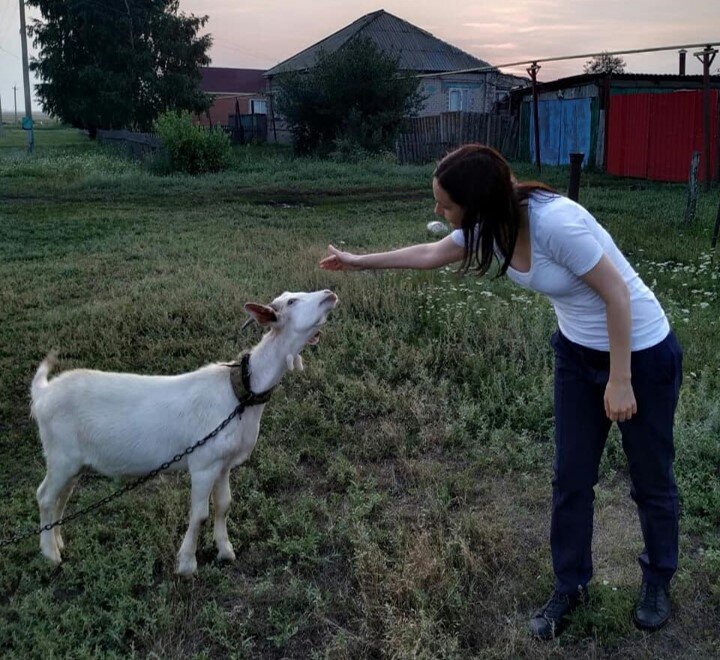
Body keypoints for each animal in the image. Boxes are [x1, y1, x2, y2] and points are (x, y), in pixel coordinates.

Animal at [31, 288, 340, 572]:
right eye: (292, 301)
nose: (330, 294)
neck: (238, 392)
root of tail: (43, 393)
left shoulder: (223, 463)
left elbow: (224, 504)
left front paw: (225, 551)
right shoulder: (203, 463)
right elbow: (199, 514)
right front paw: (187, 563)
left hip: (74, 463)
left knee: (61, 498)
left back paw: (58, 543)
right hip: (60, 455)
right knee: (45, 496)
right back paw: (50, 554)